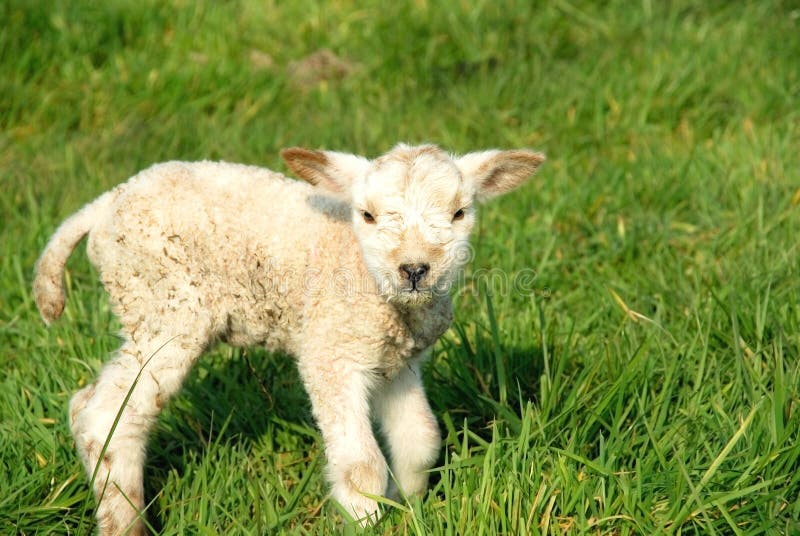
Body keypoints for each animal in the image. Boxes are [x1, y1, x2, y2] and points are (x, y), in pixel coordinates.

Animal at [33, 143, 545, 535]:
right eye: (367, 215)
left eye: (459, 213)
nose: (415, 270)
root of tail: (104, 204)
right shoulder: (330, 352)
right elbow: (360, 466)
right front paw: (366, 520)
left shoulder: (395, 360)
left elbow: (420, 440)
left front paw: (407, 507)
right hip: (166, 307)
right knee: (108, 416)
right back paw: (126, 523)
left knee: (85, 403)